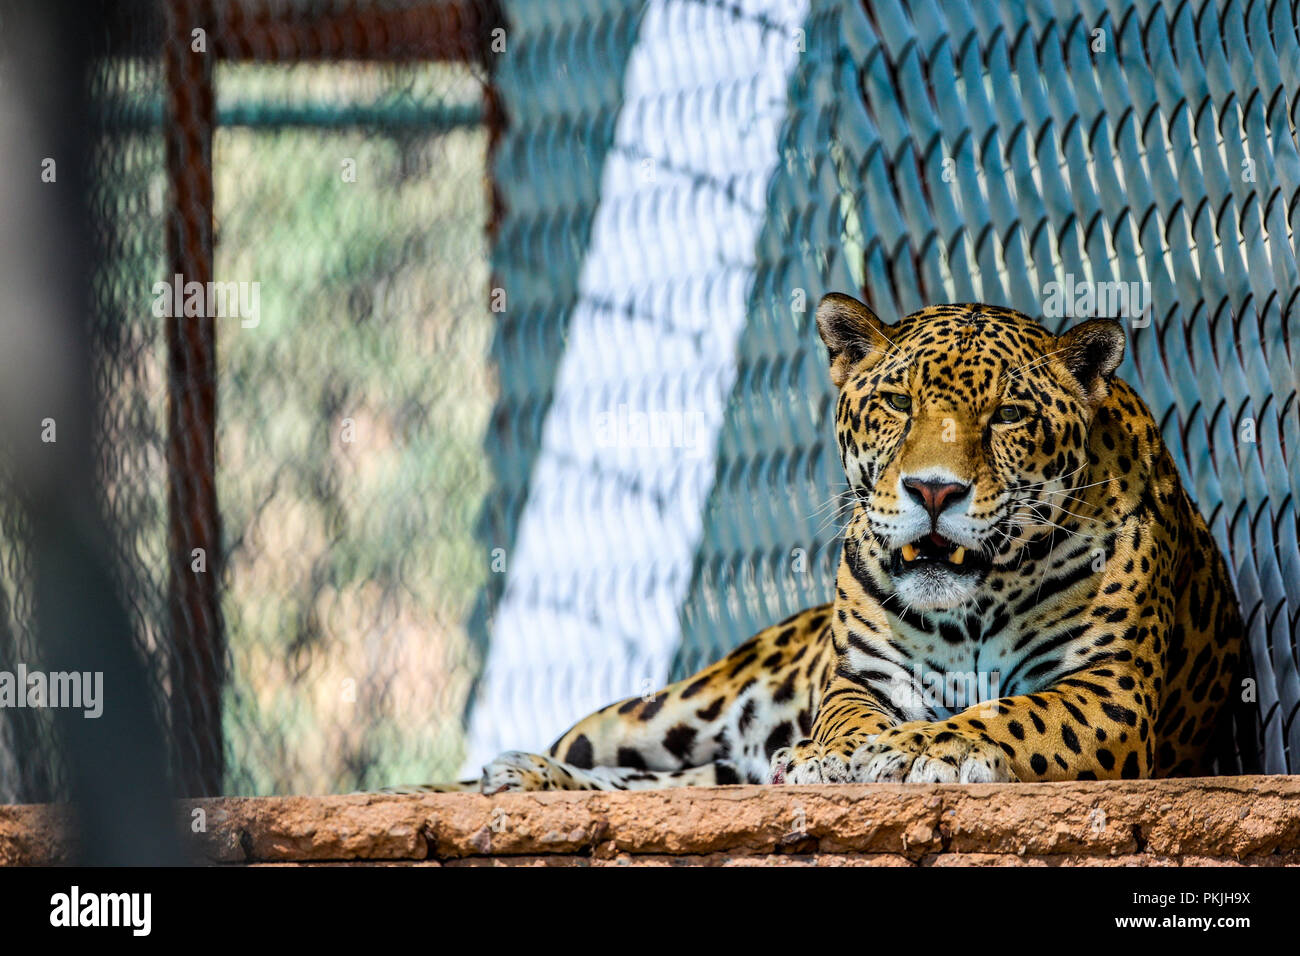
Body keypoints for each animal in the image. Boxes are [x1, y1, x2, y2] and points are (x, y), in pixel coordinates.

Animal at [394, 294, 1242, 793]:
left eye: (1008, 415)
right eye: (898, 403)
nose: (934, 491)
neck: (974, 601)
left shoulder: (1109, 689)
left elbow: (1008, 715)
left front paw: (927, 749)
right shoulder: (860, 678)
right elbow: (850, 718)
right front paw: (837, 754)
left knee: (672, 786)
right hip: (665, 711)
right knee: (599, 759)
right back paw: (517, 773)